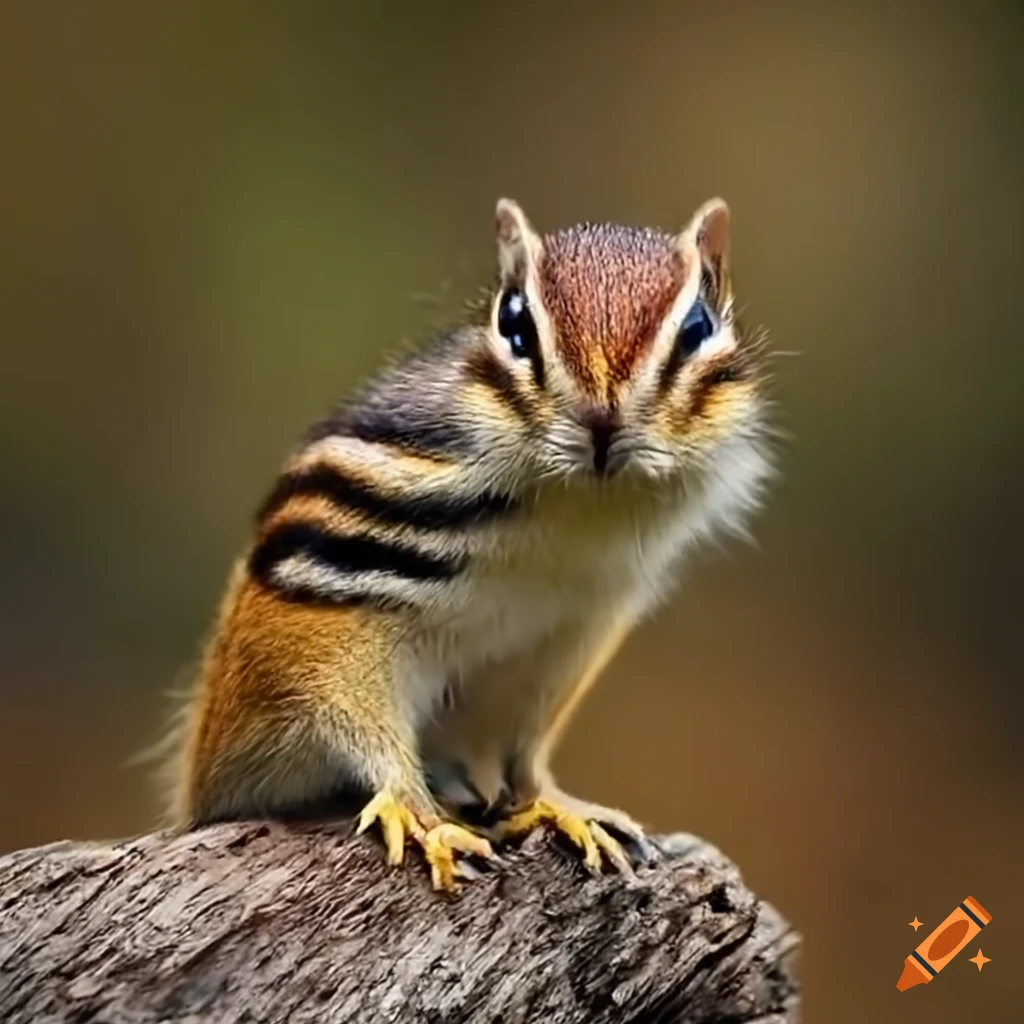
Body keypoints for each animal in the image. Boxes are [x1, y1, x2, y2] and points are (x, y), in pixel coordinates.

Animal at [171, 196, 772, 890]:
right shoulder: (333, 611)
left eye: (699, 325)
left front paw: (559, 807)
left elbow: (526, 755)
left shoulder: (572, 631)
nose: (601, 419)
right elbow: (362, 730)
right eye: (514, 323)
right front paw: (419, 817)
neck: (582, 512)